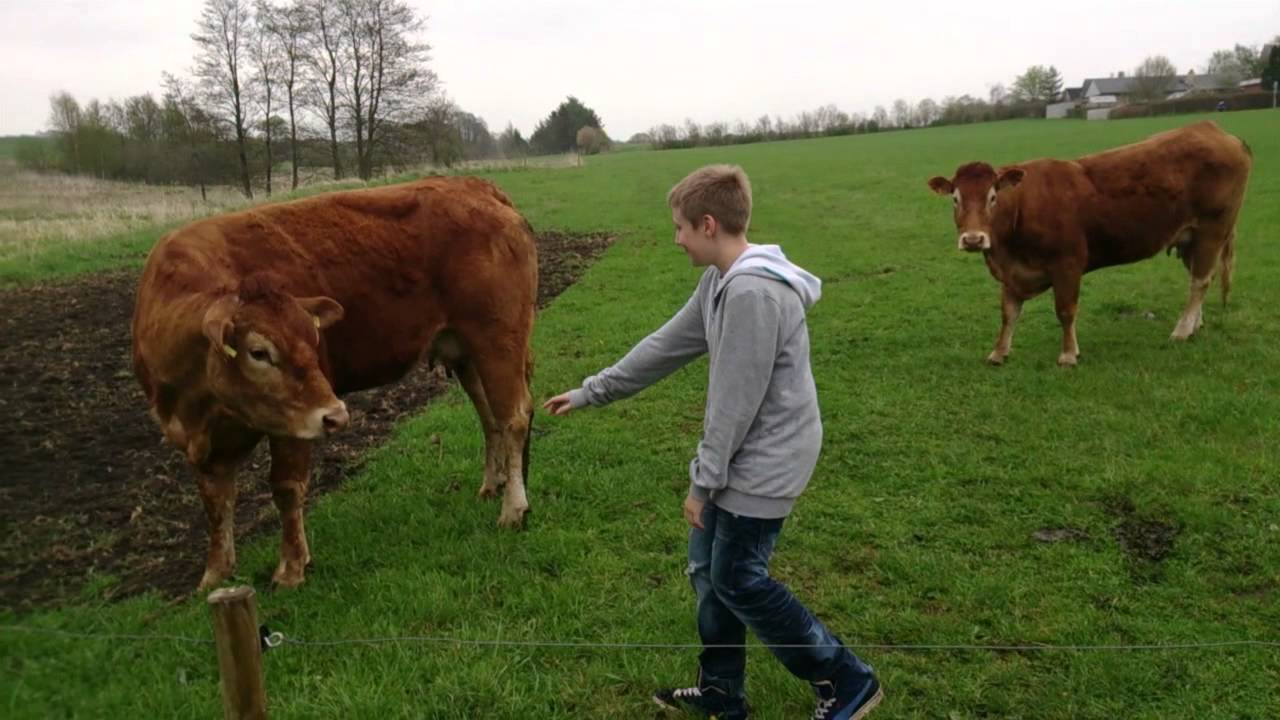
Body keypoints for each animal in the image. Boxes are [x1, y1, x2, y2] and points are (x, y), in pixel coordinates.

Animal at [131, 176, 538, 590]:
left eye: (315, 340)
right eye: (258, 352)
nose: (336, 415)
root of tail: (474, 186)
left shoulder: (294, 422)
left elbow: (286, 488)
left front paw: (292, 567)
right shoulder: (200, 443)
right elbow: (215, 504)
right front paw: (215, 574)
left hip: (497, 341)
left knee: (514, 418)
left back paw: (514, 508)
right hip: (466, 352)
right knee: (490, 419)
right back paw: (493, 484)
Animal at [927, 121, 1251, 366]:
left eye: (992, 197)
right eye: (955, 199)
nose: (973, 239)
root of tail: (1217, 131)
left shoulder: (1067, 264)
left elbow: (1065, 310)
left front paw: (1069, 354)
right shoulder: (1012, 273)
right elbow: (1009, 313)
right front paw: (999, 352)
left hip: (1213, 229)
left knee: (1200, 282)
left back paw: (1182, 331)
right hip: (1190, 238)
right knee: (1202, 278)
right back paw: (1195, 324)